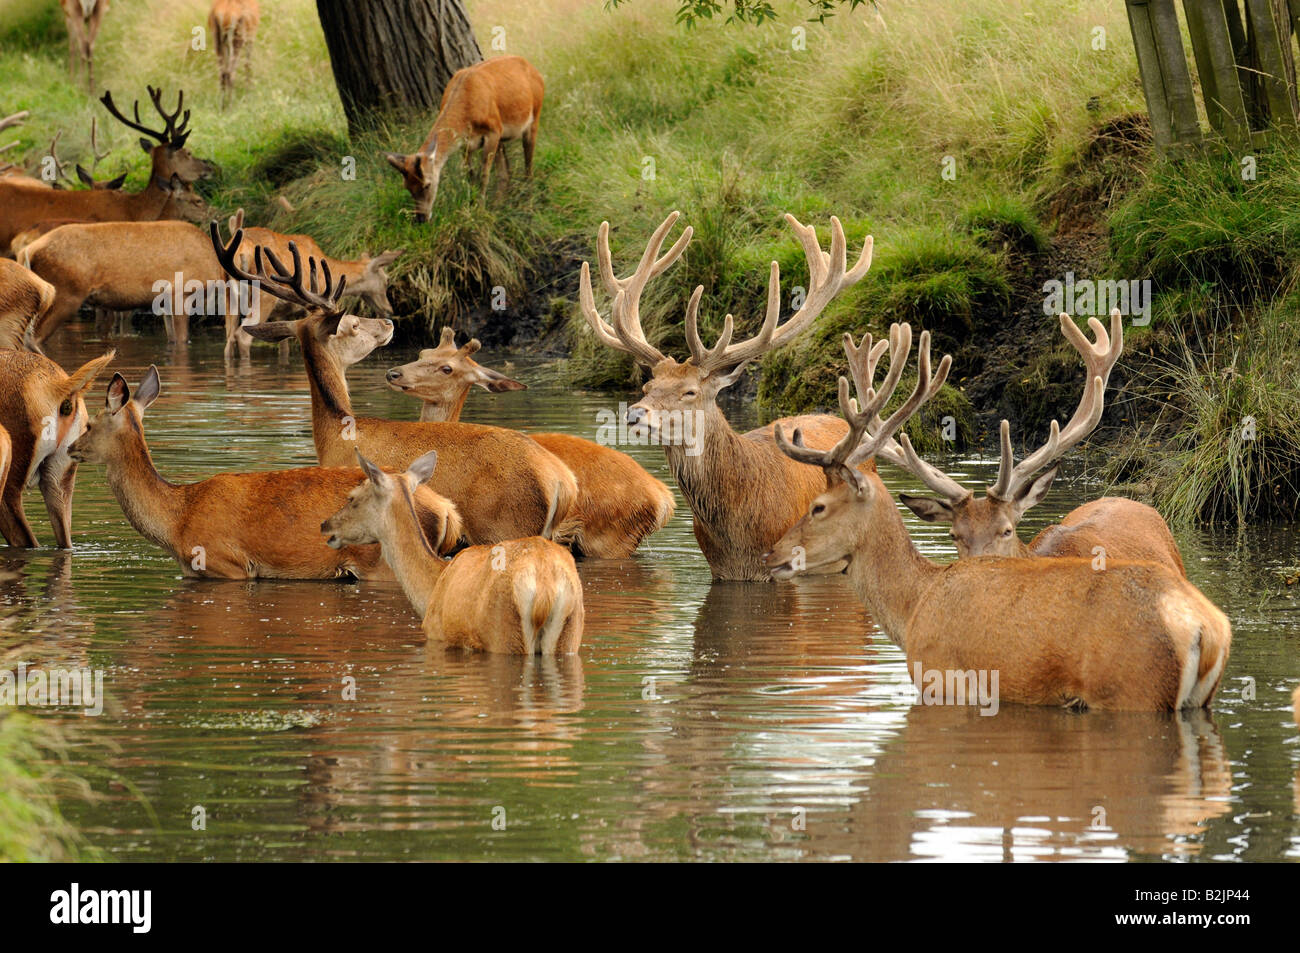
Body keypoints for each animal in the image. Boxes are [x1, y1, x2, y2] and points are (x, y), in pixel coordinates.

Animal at [68, 366, 463, 579]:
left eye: (88, 424)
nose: (71, 448)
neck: (175, 521)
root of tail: (447, 510)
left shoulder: (227, 564)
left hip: (381, 562)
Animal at [323, 449, 584, 655]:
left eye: (351, 498)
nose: (326, 524)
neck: (431, 589)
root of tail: (545, 588)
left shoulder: (436, 633)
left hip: (504, 636)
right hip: (569, 636)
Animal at [384, 55, 544, 220]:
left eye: (427, 184)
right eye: (407, 186)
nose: (421, 218)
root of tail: (535, 71)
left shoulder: (494, 129)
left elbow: (484, 175)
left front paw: (480, 210)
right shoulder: (466, 143)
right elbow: (470, 175)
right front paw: (471, 205)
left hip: (535, 116)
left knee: (528, 162)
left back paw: (529, 199)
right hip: (501, 138)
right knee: (506, 170)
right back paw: (500, 202)